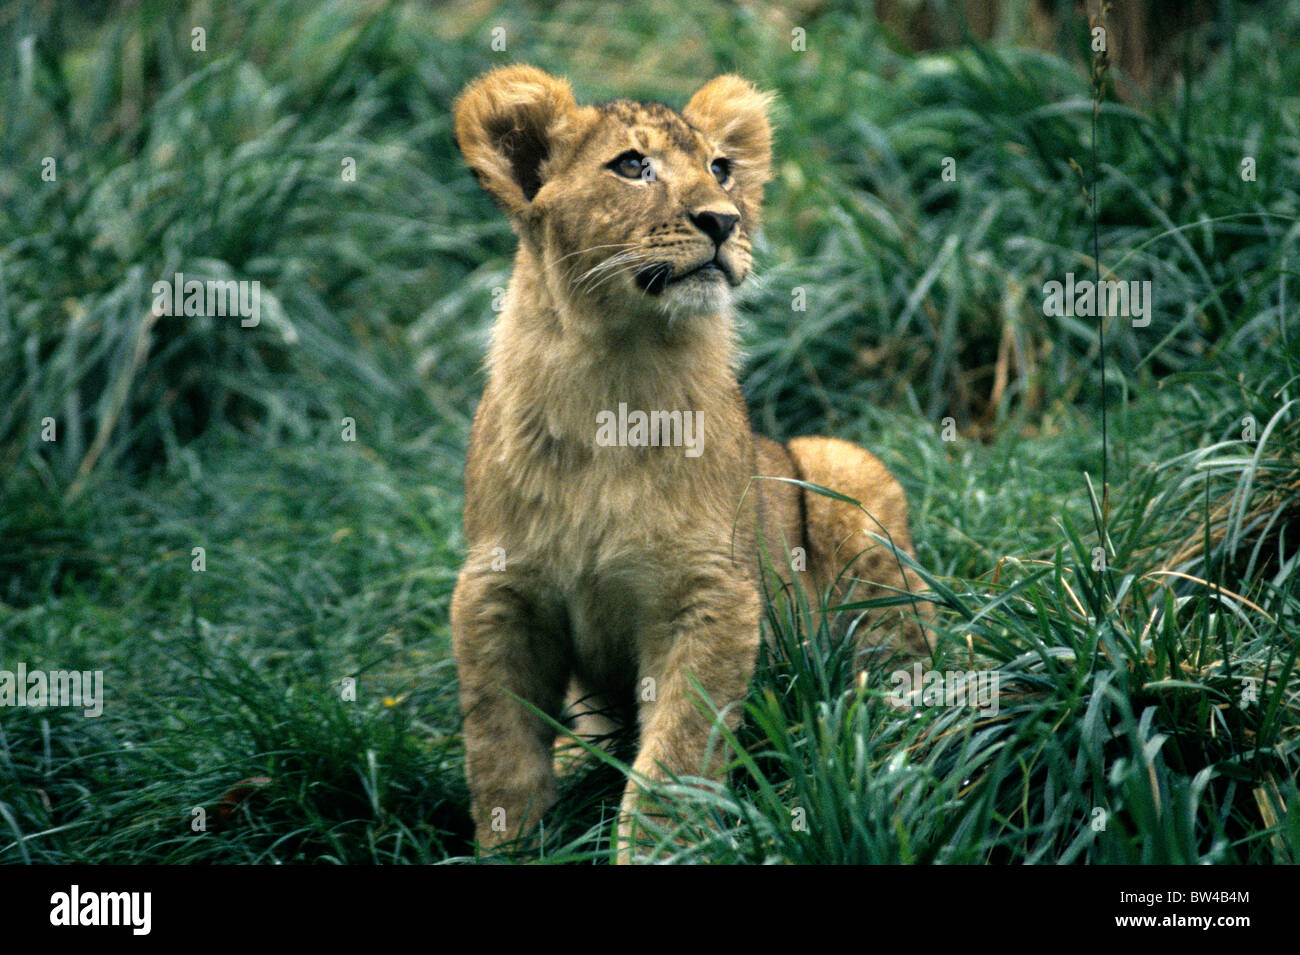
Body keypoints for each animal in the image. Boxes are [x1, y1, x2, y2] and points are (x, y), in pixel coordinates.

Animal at [449, 65, 932, 861]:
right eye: (631, 165)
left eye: (721, 169)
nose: (723, 221)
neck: (616, 371)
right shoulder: (498, 588)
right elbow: (501, 747)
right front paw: (514, 845)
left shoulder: (710, 592)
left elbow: (674, 755)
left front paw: (658, 849)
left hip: (845, 469)